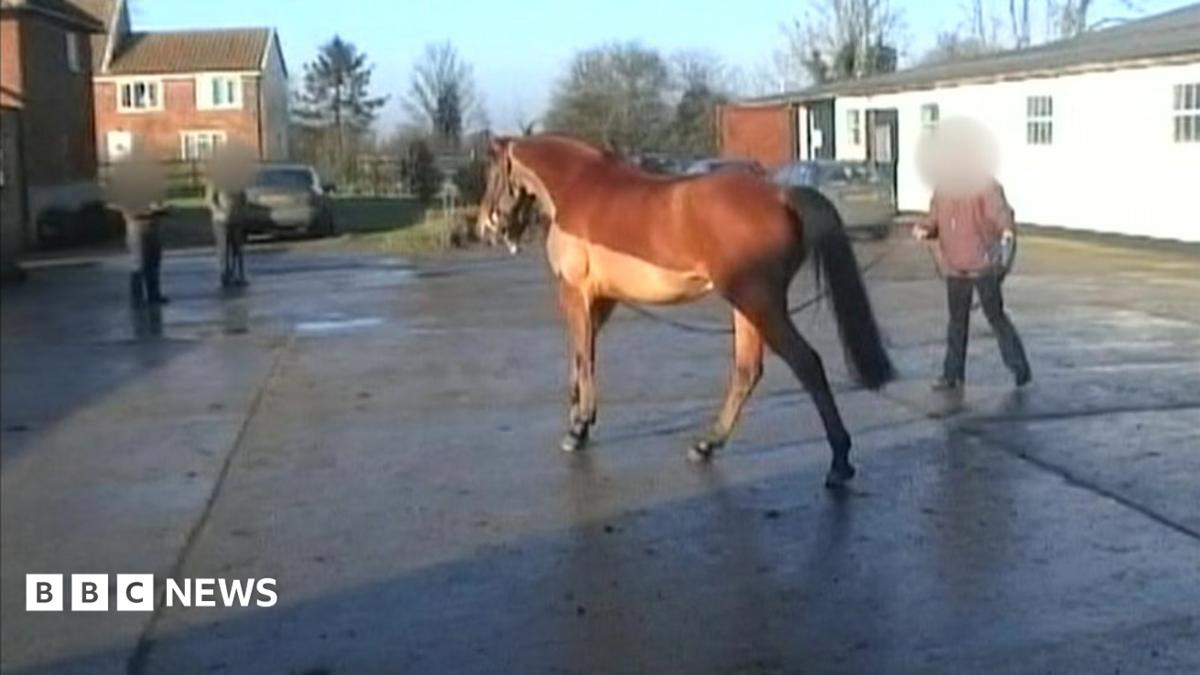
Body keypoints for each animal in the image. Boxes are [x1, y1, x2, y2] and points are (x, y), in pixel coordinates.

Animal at [478, 134, 894, 487]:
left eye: (492, 173)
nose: (485, 226)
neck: (576, 187)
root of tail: (782, 195)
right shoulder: (602, 300)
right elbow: (581, 358)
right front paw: (578, 419)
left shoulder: (574, 293)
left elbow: (584, 356)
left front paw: (577, 429)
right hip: (748, 307)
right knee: (747, 371)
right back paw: (707, 445)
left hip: (758, 303)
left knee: (806, 364)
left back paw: (839, 461)